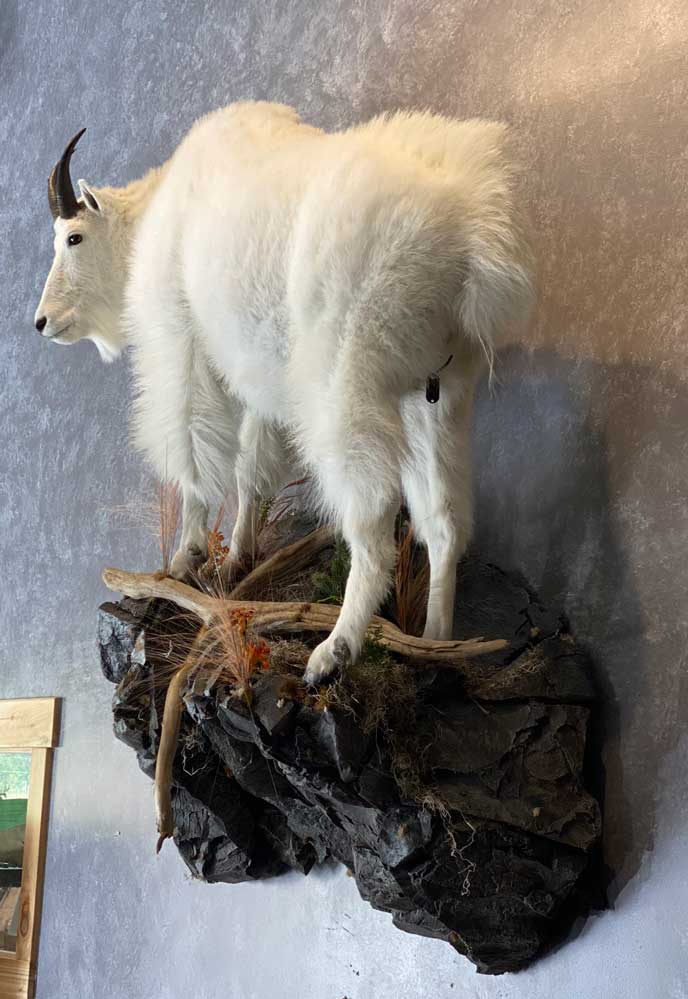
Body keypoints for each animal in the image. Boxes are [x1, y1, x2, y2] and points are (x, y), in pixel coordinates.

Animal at [35, 102, 533, 683]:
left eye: (72, 238)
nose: (42, 322)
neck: (157, 216)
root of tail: (472, 226)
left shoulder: (183, 347)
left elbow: (193, 456)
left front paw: (185, 558)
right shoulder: (255, 375)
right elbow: (251, 466)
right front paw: (237, 556)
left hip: (344, 384)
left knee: (373, 519)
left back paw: (335, 649)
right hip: (439, 394)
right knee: (445, 519)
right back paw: (435, 640)